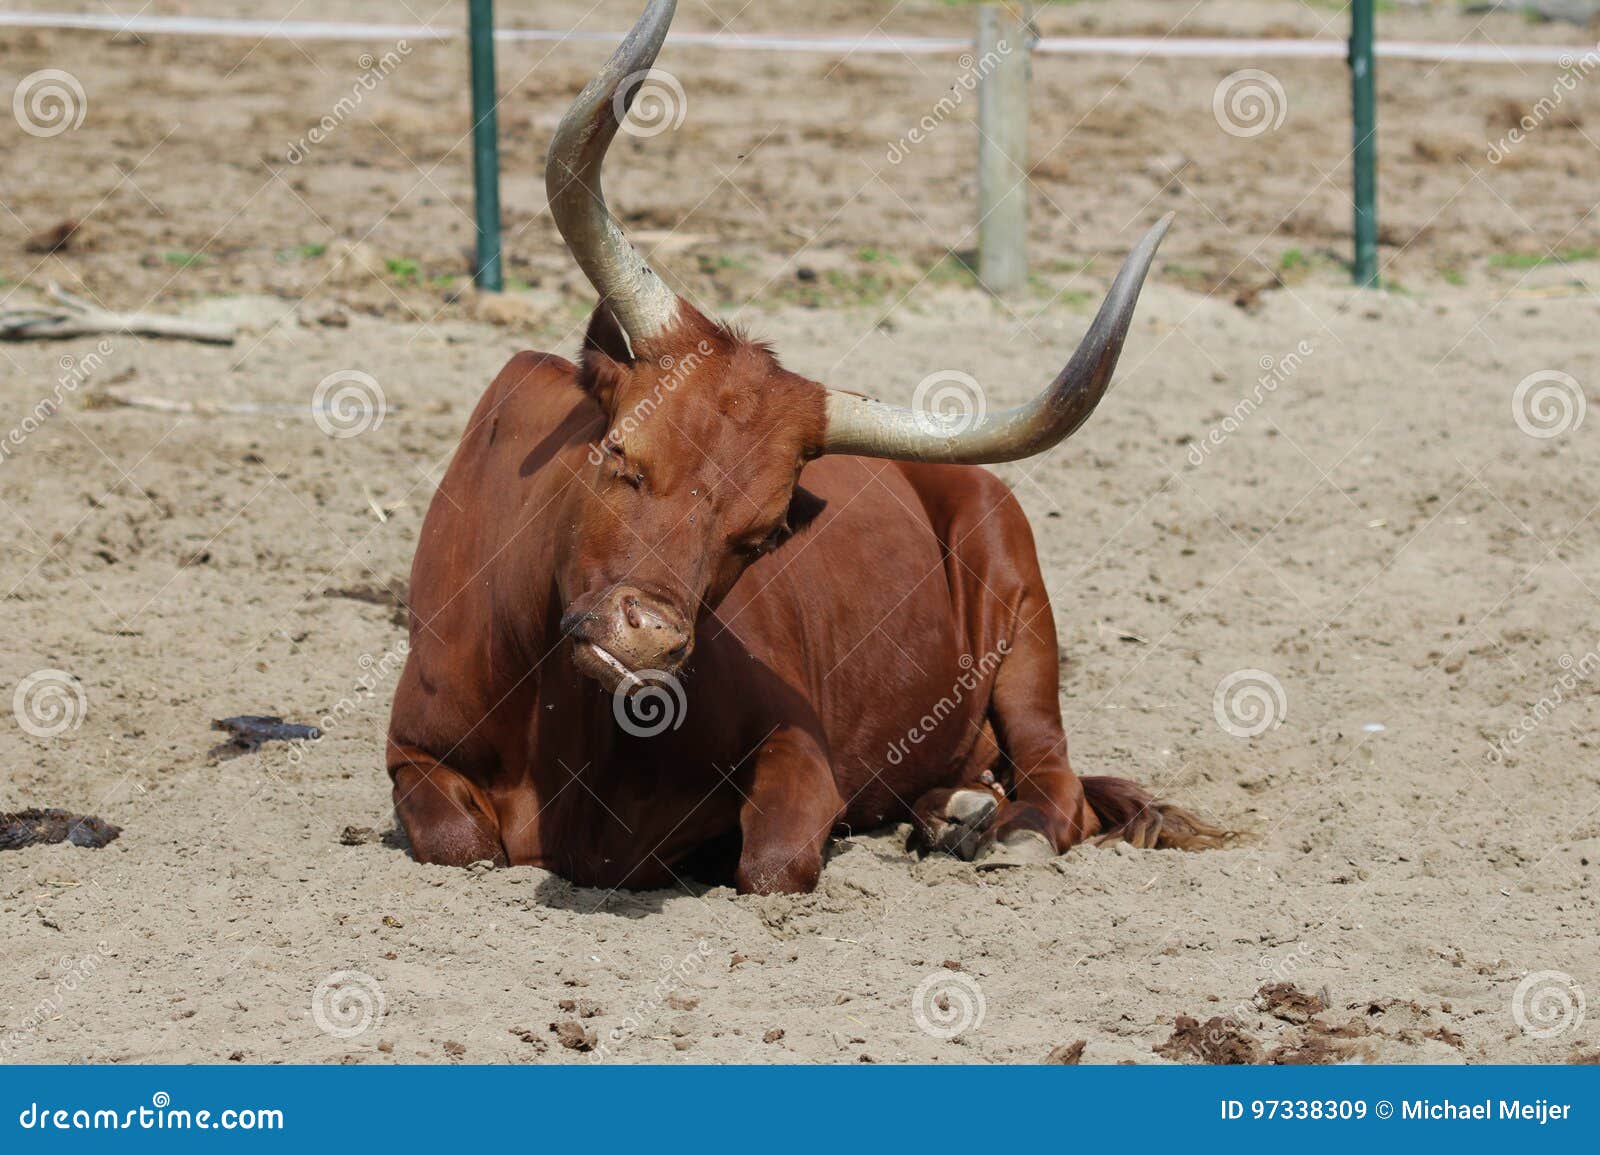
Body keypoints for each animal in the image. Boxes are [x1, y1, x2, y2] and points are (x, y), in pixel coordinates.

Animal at [387, 0, 1227, 895]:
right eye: (618, 452)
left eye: (760, 535)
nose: (644, 637)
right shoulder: (412, 752)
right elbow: (456, 838)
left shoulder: (802, 749)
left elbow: (773, 861)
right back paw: (953, 810)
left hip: (1025, 616)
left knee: (1056, 779)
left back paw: (1004, 826)